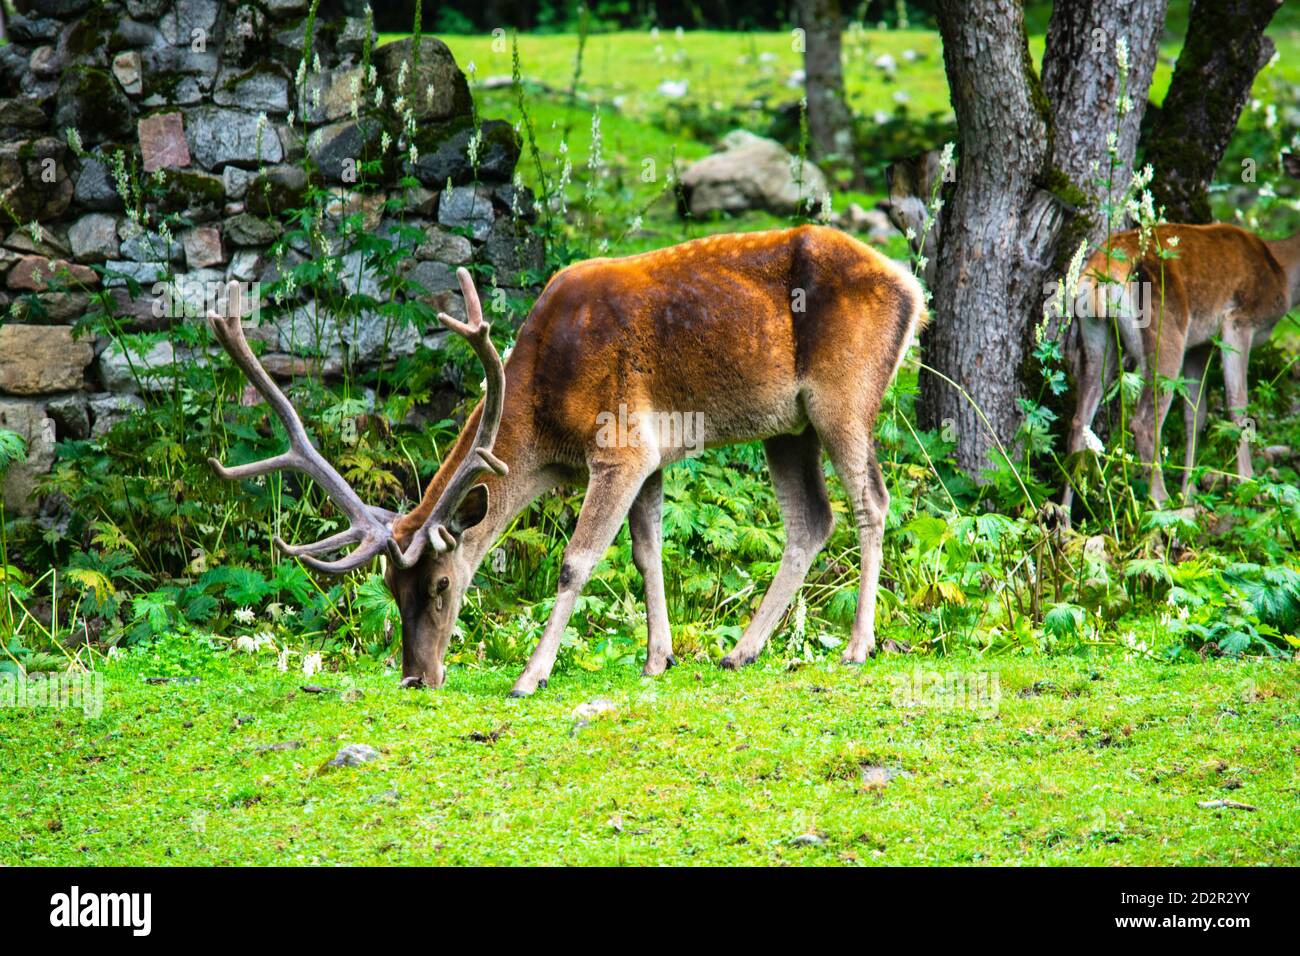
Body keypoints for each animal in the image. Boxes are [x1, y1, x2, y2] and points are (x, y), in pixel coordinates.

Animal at [206, 225, 927, 696]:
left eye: (440, 586)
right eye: (389, 587)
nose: (415, 676)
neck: (545, 422)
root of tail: (912, 288)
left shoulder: (621, 444)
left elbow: (576, 561)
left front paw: (531, 675)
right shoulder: (651, 458)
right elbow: (647, 552)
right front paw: (657, 658)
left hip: (844, 394)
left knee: (872, 502)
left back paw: (858, 646)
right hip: (787, 424)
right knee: (812, 519)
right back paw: (740, 652)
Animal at [1060, 222, 1299, 512]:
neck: (1282, 271)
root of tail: (1101, 271)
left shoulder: (1199, 346)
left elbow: (1195, 415)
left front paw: (1190, 492)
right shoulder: (1238, 322)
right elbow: (1238, 405)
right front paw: (1249, 485)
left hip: (1097, 338)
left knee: (1079, 421)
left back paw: (1064, 514)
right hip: (1165, 334)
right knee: (1144, 422)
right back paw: (1164, 503)